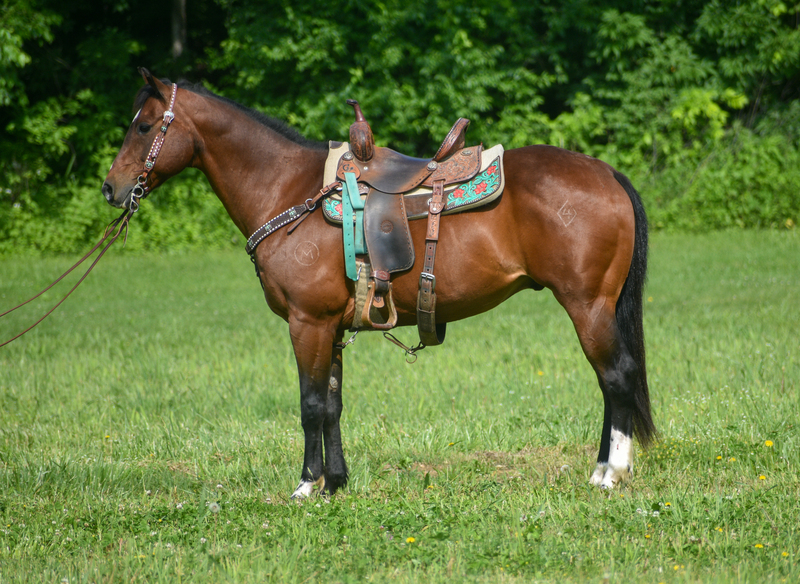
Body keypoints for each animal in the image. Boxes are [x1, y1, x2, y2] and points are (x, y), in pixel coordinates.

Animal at [102, 68, 656, 498]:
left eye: (144, 125)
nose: (111, 188)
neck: (289, 190)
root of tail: (607, 173)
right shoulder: (329, 327)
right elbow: (332, 404)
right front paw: (336, 481)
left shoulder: (307, 323)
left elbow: (309, 405)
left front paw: (306, 485)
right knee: (609, 382)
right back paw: (600, 469)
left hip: (588, 304)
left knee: (616, 377)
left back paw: (612, 473)